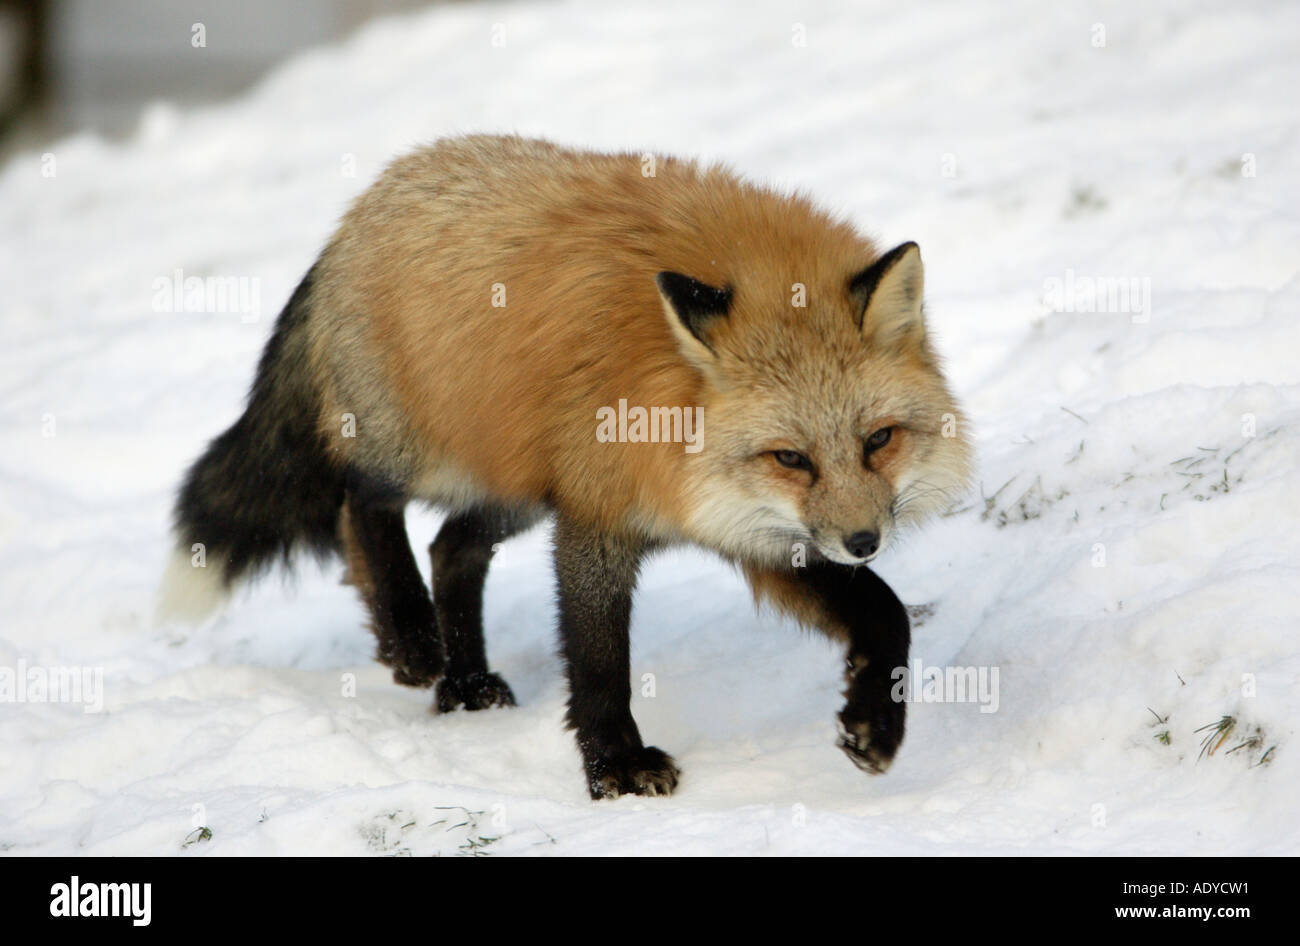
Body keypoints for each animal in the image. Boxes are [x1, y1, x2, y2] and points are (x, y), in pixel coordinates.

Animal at [160, 134, 973, 800]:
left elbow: (885, 611)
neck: (669, 415)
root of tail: (368, 201)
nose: (865, 541)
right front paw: (616, 765)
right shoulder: (594, 518)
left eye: (879, 440)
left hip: (516, 484)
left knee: (452, 547)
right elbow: (599, 658)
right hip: (422, 455)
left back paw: (465, 681)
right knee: (357, 506)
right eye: (791, 458)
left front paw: (876, 723)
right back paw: (412, 638)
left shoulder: (756, 529)